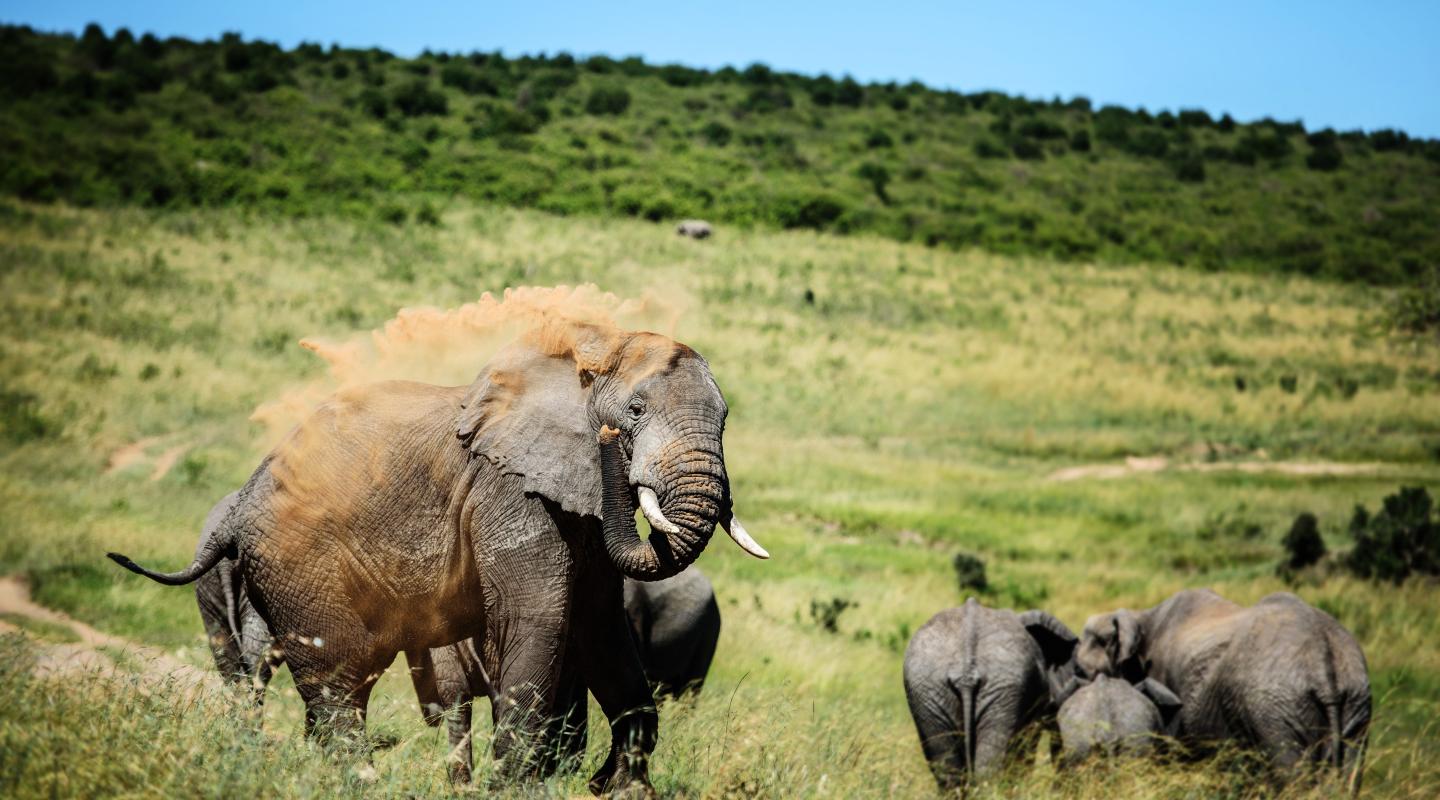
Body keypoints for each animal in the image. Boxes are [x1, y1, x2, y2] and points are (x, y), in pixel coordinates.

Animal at [109, 324, 768, 796]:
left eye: (727, 418)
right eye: (633, 413)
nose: (611, 446)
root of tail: (243, 499)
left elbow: (601, 631)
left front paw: (621, 788)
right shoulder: (509, 493)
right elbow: (541, 620)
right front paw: (513, 788)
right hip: (298, 565)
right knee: (336, 683)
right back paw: (356, 782)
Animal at [1076, 589, 1370, 792]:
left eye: (1080, 670)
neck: (1142, 616)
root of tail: (1322, 659)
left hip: (1273, 709)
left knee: (1290, 774)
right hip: (1355, 703)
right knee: (1349, 773)